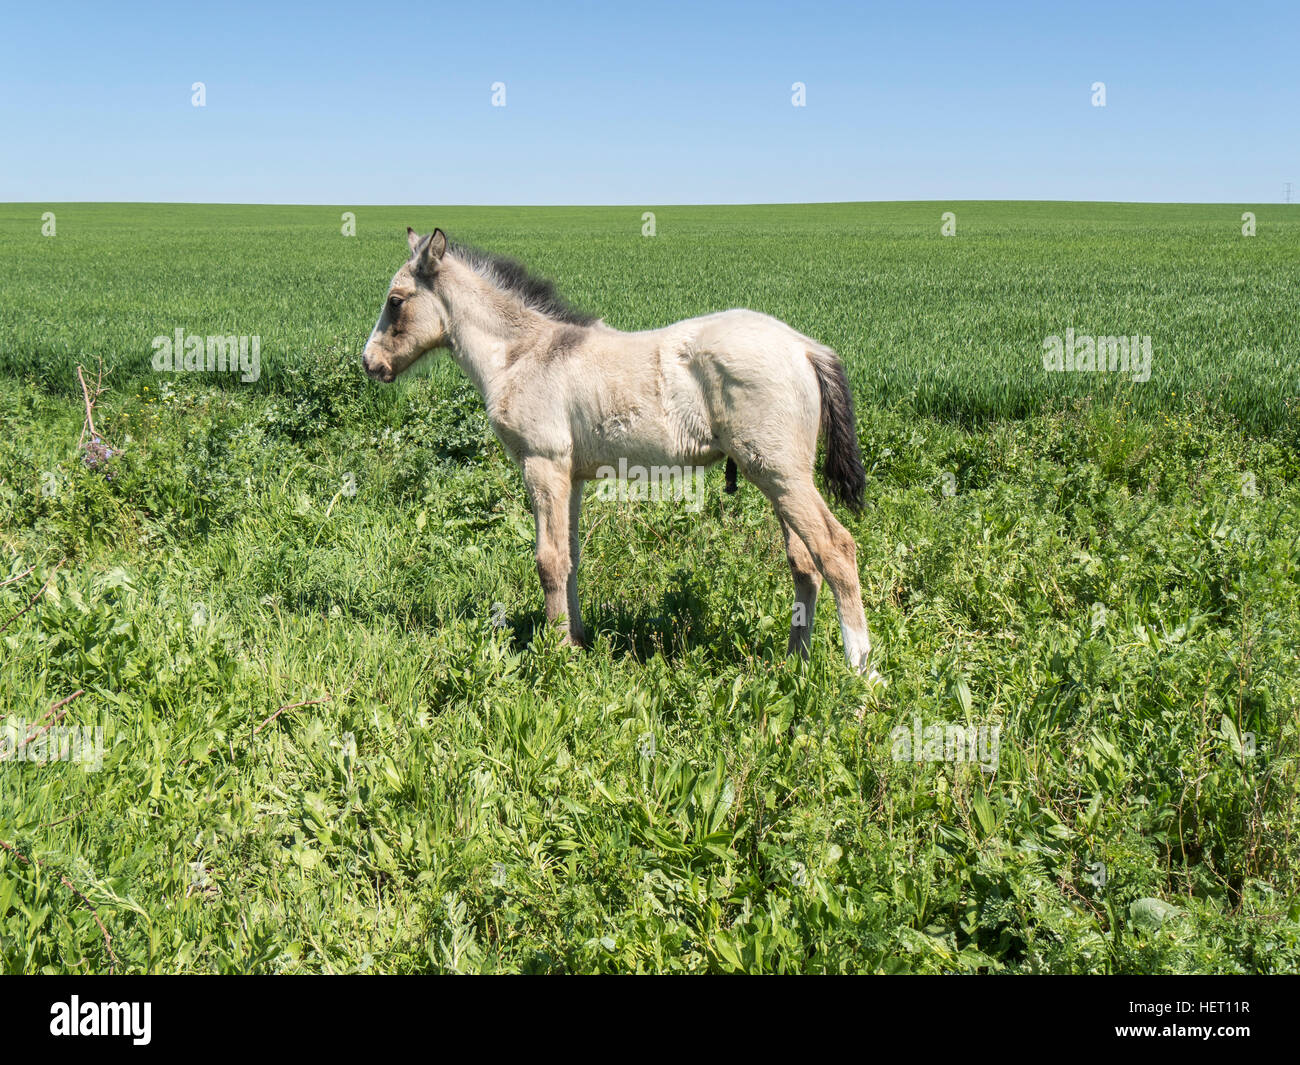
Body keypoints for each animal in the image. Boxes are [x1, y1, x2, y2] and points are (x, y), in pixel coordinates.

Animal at [362, 228, 881, 684]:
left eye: (396, 300)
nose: (370, 364)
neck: (523, 355)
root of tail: (805, 347)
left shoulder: (542, 465)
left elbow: (549, 560)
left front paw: (556, 657)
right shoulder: (570, 477)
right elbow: (571, 556)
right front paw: (577, 641)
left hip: (780, 475)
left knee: (836, 549)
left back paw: (861, 672)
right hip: (780, 478)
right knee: (804, 563)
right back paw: (795, 664)